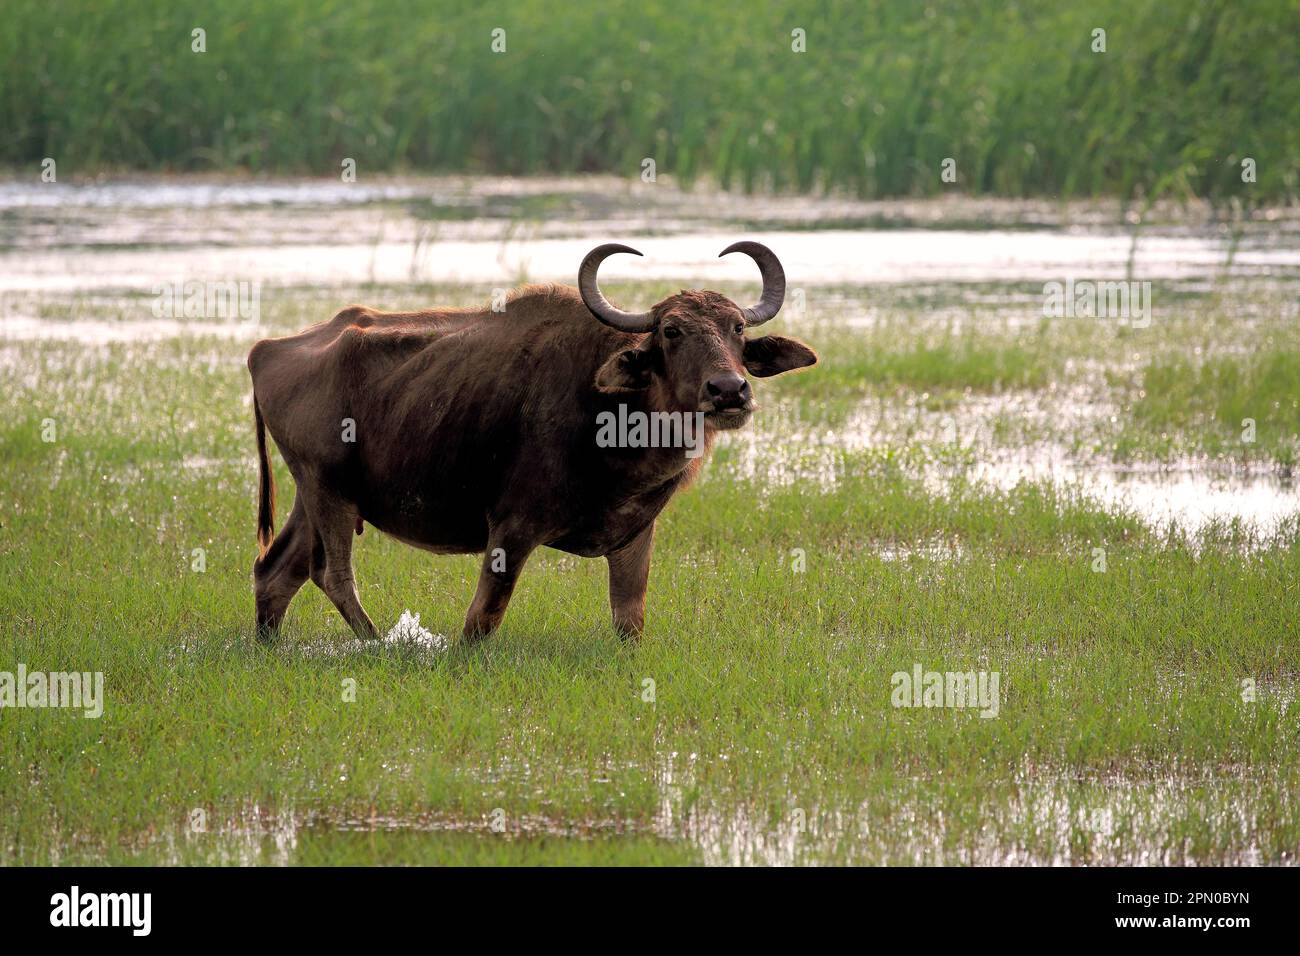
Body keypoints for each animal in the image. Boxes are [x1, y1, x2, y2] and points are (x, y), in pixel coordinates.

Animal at [248, 242, 816, 642]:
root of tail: (266, 350)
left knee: (275, 572)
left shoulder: (636, 536)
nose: (729, 390)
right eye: (671, 331)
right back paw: (381, 644)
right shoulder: (511, 528)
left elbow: (629, 619)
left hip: (313, 496)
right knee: (333, 574)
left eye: (737, 327)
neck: (613, 418)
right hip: (328, 491)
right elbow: (482, 619)